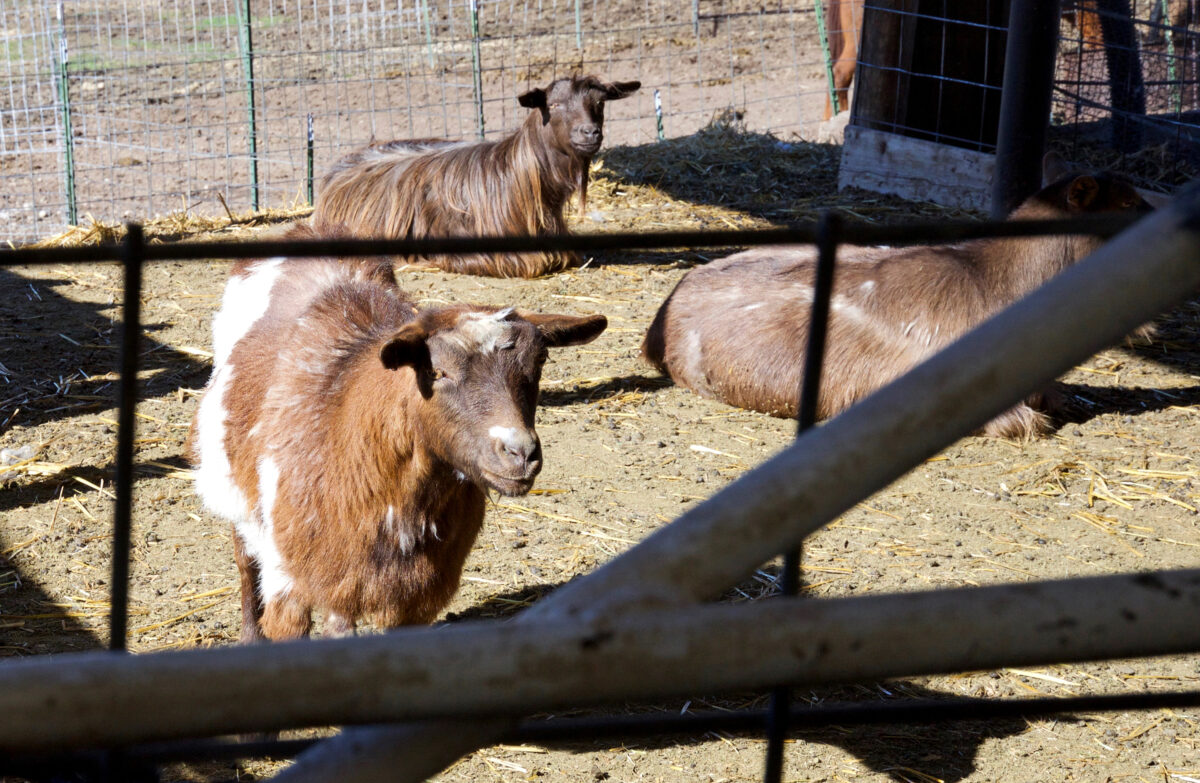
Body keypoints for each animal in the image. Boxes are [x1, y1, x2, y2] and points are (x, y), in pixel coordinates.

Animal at [189, 230, 607, 641]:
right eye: (437, 372)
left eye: (540, 361)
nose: (520, 453)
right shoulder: (298, 576)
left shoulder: (413, 591)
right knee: (245, 563)